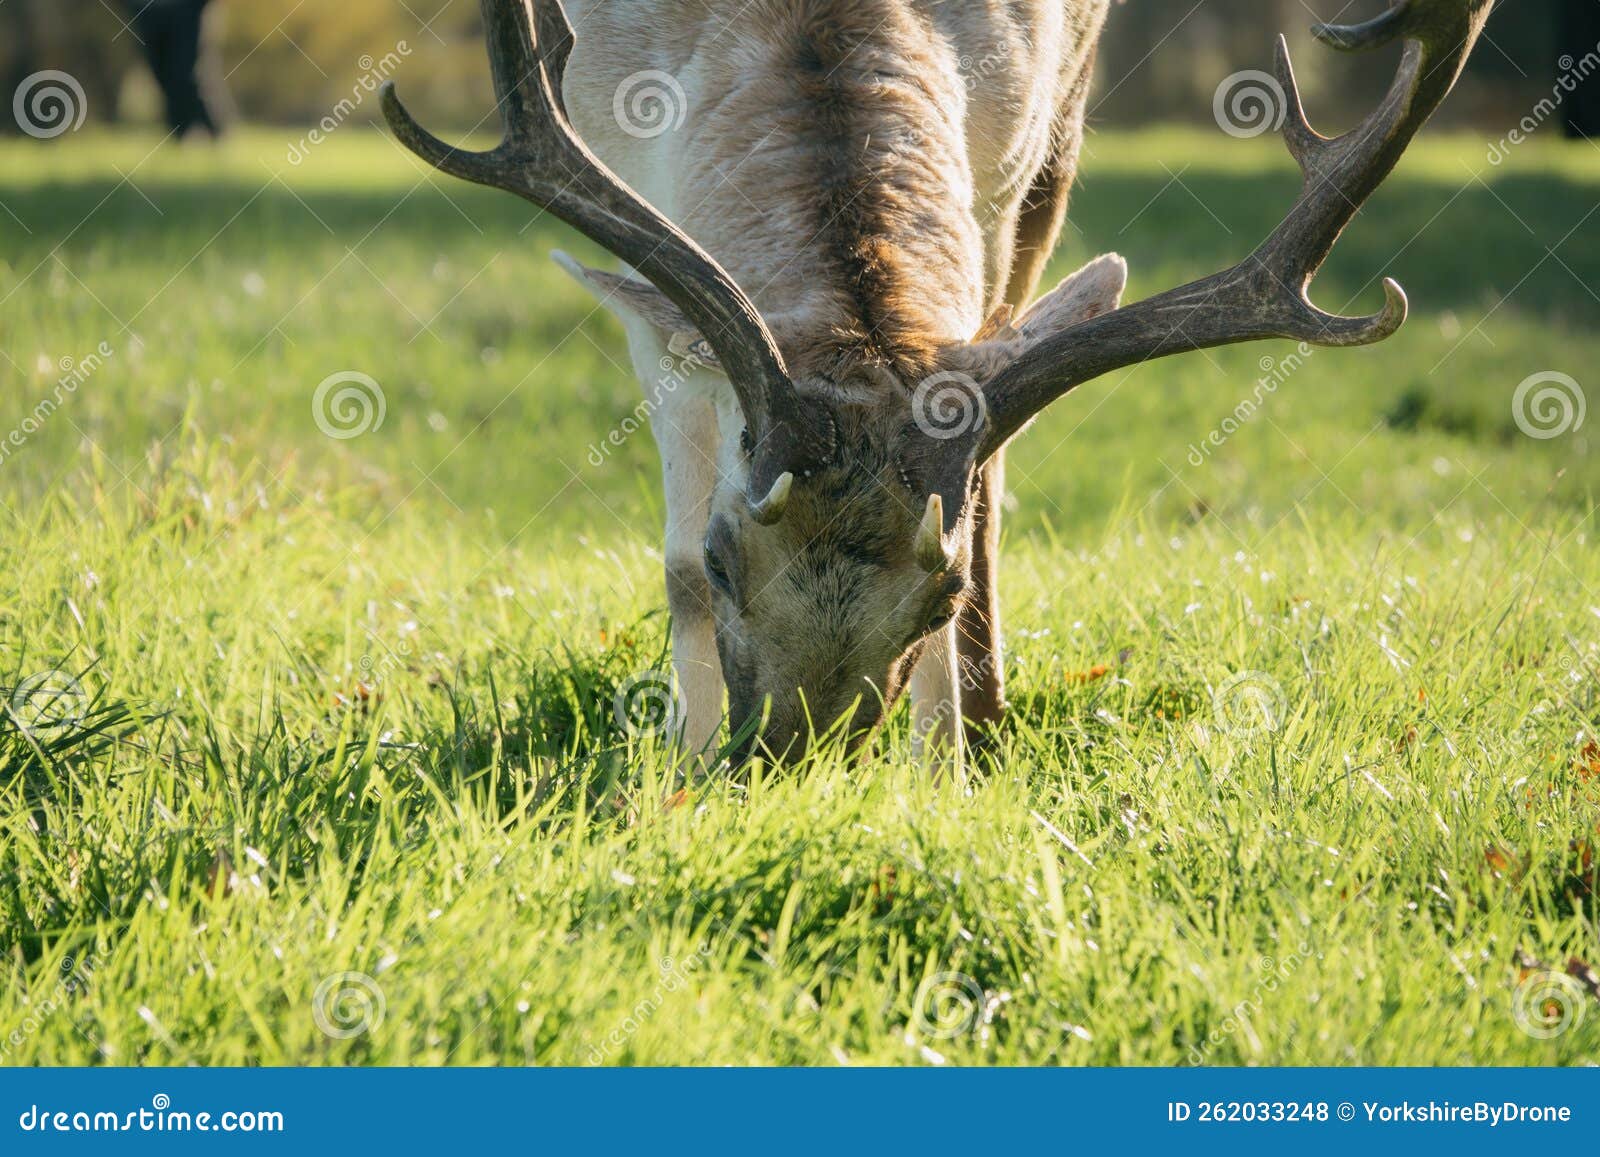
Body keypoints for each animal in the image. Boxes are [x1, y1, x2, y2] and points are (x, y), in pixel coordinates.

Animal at [382, 0, 1490, 775]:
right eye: (729, 558)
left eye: (936, 596)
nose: (785, 771)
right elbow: (673, 562)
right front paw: (677, 767)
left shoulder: (1015, 160)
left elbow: (983, 471)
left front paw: (948, 772)